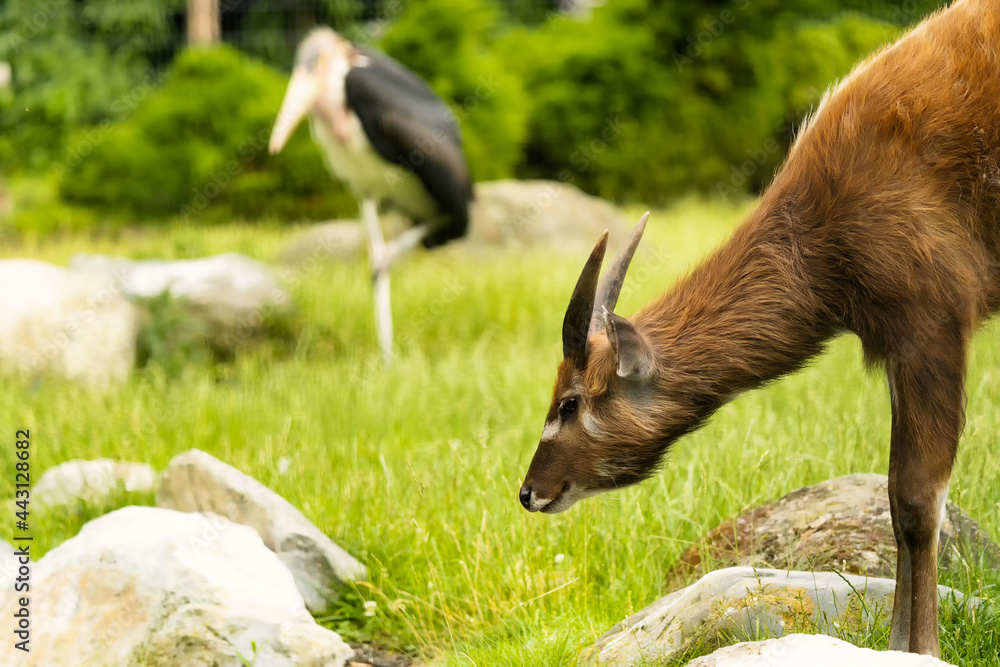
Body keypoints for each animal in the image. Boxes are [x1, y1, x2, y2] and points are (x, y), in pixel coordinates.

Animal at [519, 0, 1000, 656]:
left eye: (569, 402)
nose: (528, 491)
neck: (820, 233)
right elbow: (896, 495)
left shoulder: (933, 326)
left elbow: (915, 497)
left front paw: (919, 648)